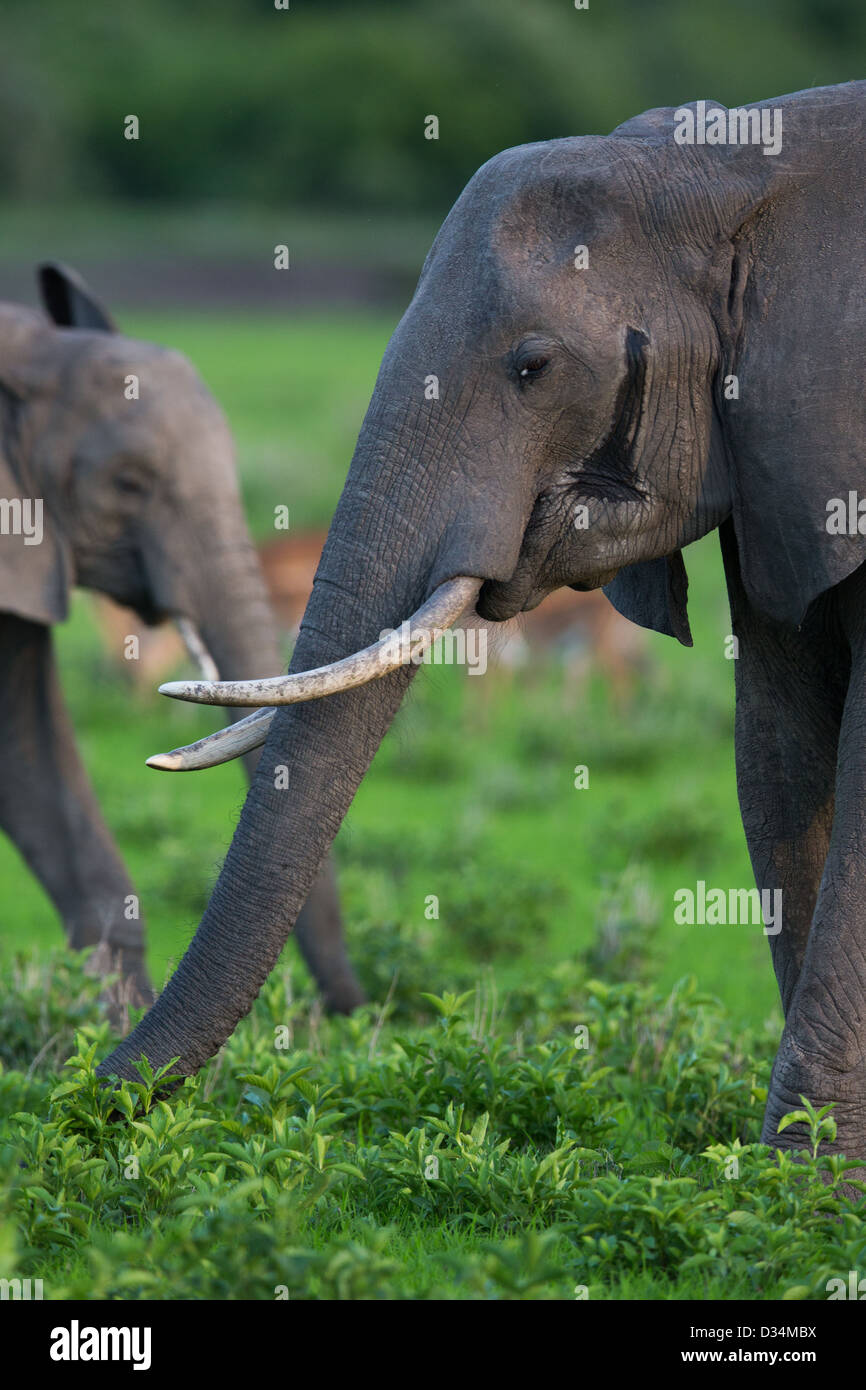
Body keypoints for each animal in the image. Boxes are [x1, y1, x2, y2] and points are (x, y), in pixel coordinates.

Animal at [101, 81, 866, 1164]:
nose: (83, 1096)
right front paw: (792, 1183)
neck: (727, 165)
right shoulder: (777, 467)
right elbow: (776, 757)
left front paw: (800, 1188)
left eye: (533, 366)